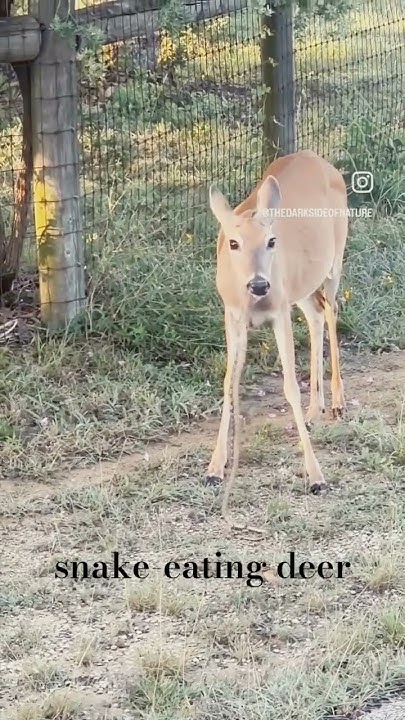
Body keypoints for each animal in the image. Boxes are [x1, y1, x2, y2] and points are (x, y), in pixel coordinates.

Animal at [206, 149, 348, 518]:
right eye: (233, 242)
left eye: (271, 241)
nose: (259, 285)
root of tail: (318, 159)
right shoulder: (232, 314)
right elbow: (228, 382)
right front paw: (214, 469)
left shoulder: (279, 311)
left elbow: (289, 387)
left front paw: (317, 477)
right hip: (302, 286)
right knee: (316, 313)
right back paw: (315, 412)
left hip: (335, 258)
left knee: (331, 309)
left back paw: (338, 403)